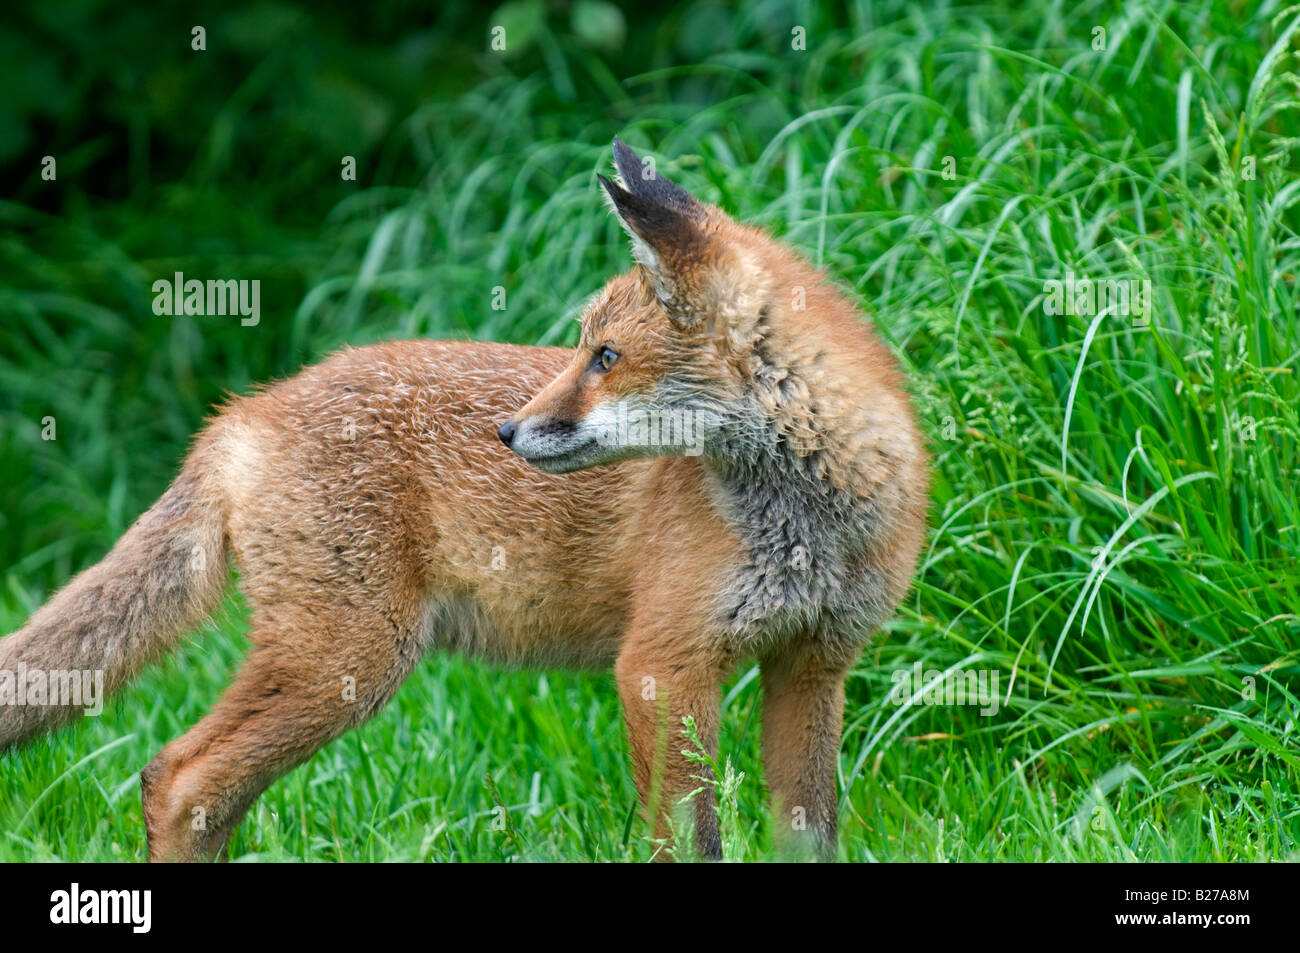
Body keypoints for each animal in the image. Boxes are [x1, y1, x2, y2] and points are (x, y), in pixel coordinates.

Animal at [0, 139, 929, 862]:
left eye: (605, 356)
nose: (507, 431)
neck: (812, 523)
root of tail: (241, 411)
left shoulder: (814, 662)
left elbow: (811, 832)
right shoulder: (662, 666)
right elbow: (694, 838)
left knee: (201, 791)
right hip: (346, 661)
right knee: (177, 778)